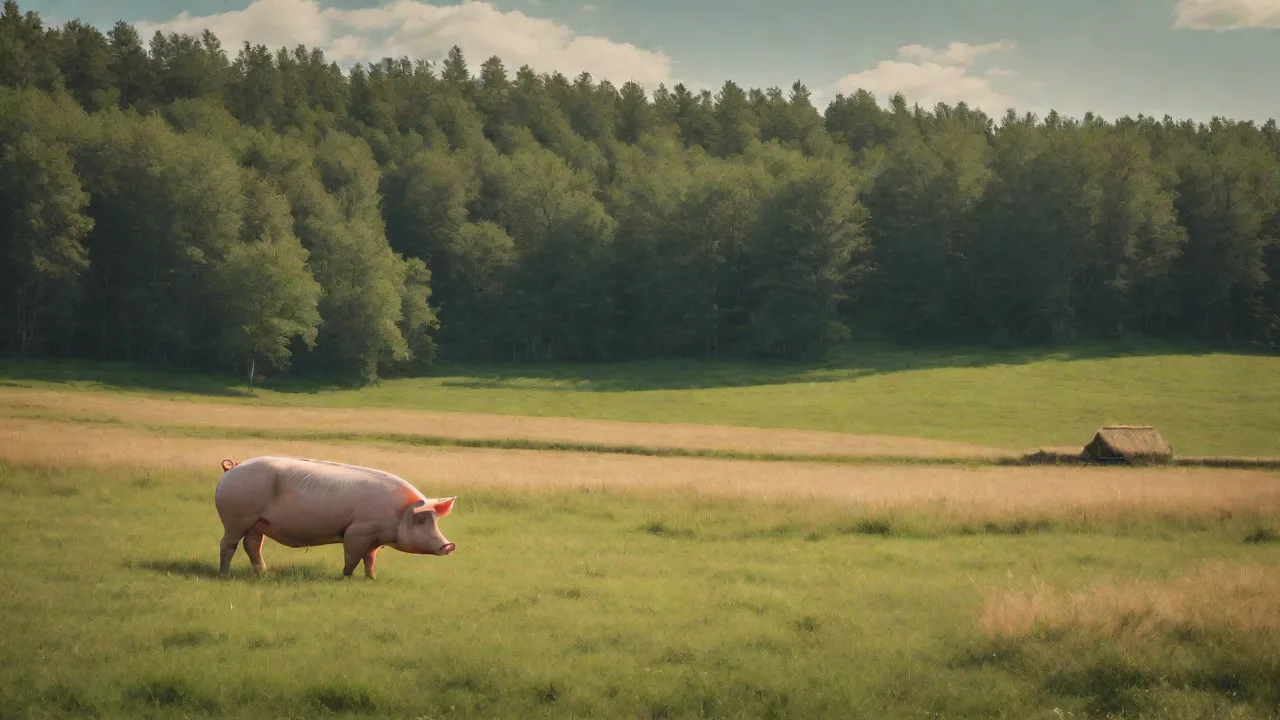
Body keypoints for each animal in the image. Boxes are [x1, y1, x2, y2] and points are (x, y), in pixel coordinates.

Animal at [214, 455, 456, 579]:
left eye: (435, 520)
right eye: (422, 520)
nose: (449, 545)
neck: (399, 514)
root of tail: (231, 469)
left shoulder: (374, 539)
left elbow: (370, 558)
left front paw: (372, 578)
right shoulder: (358, 530)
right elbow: (352, 556)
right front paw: (346, 577)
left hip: (257, 523)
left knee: (252, 545)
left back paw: (263, 574)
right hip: (236, 519)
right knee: (228, 544)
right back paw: (224, 574)